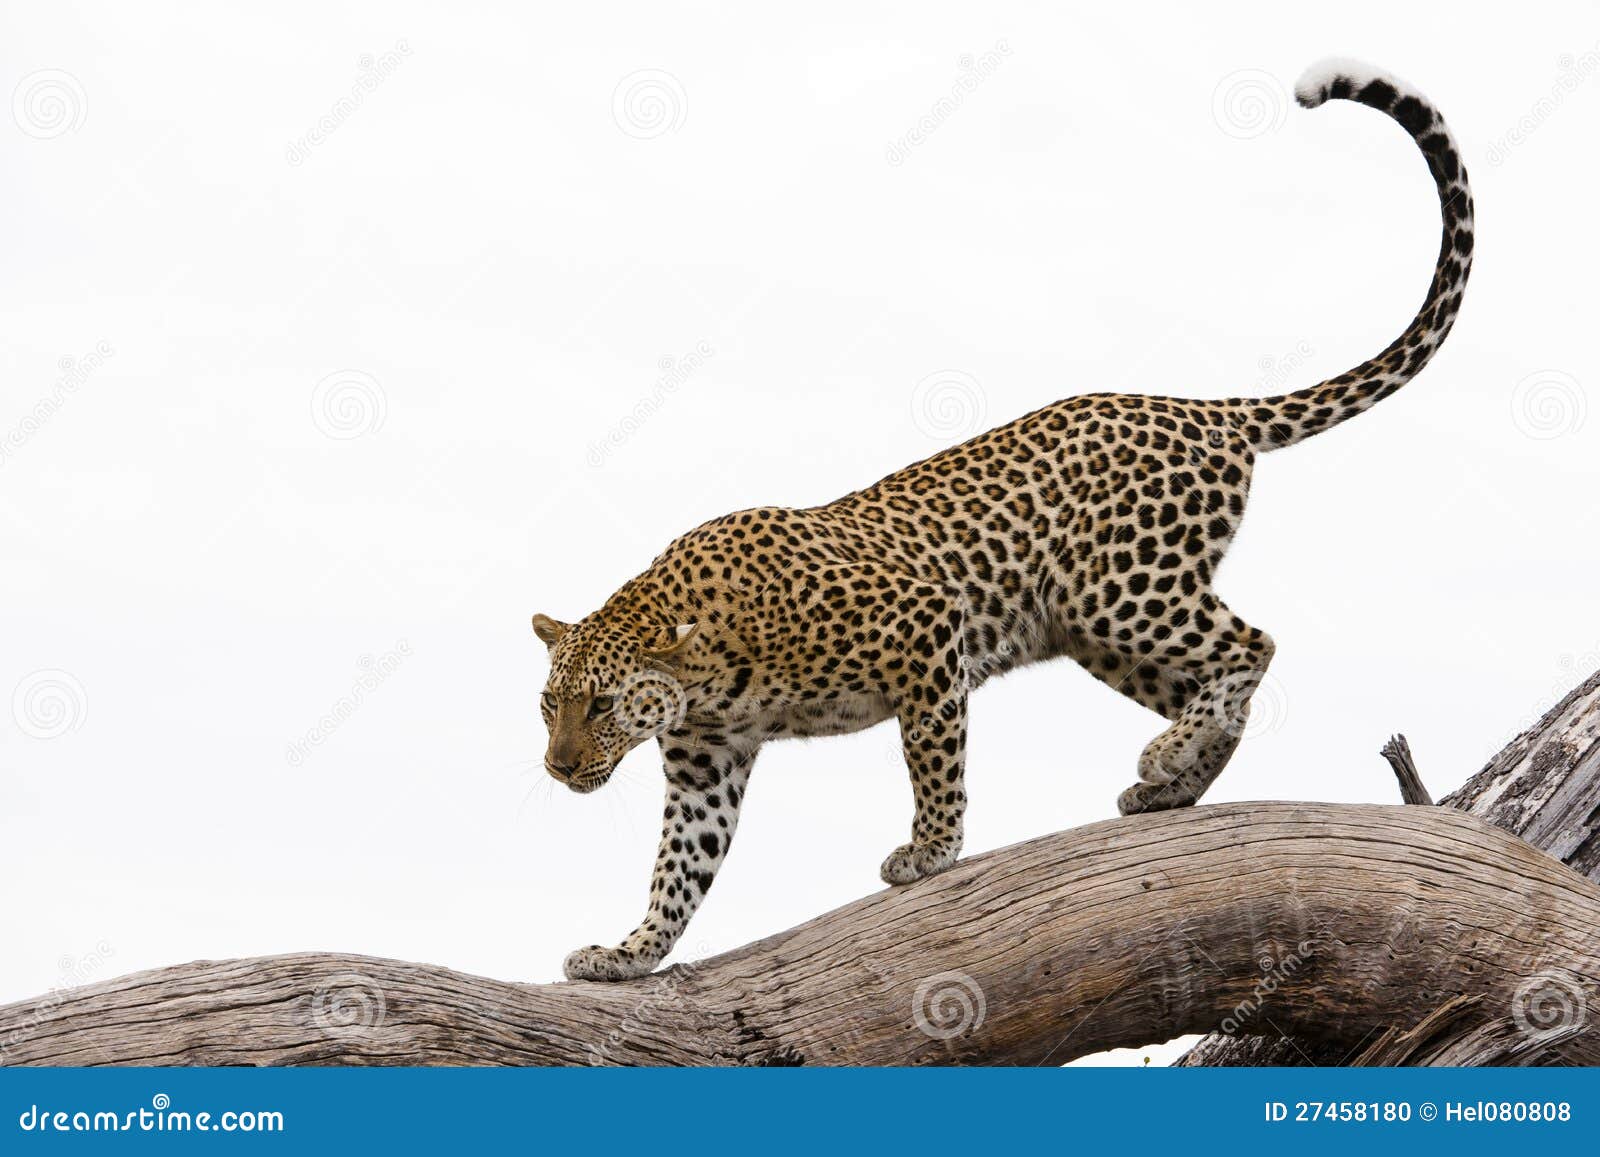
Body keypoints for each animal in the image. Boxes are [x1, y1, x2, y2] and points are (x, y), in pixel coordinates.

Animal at [534, 58, 1472, 979]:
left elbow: (931, 755)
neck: (700, 663)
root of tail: (1203, 409)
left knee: (1253, 643)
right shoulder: (707, 762)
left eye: (605, 704)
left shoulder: (922, 626)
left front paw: (932, 850)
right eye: (550, 705)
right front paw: (629, 952)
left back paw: (1165, 760)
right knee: (1222, 686)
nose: (557, 766)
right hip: (1095, 628)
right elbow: (681, 865)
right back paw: (1169, 783)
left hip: (1119, 592)